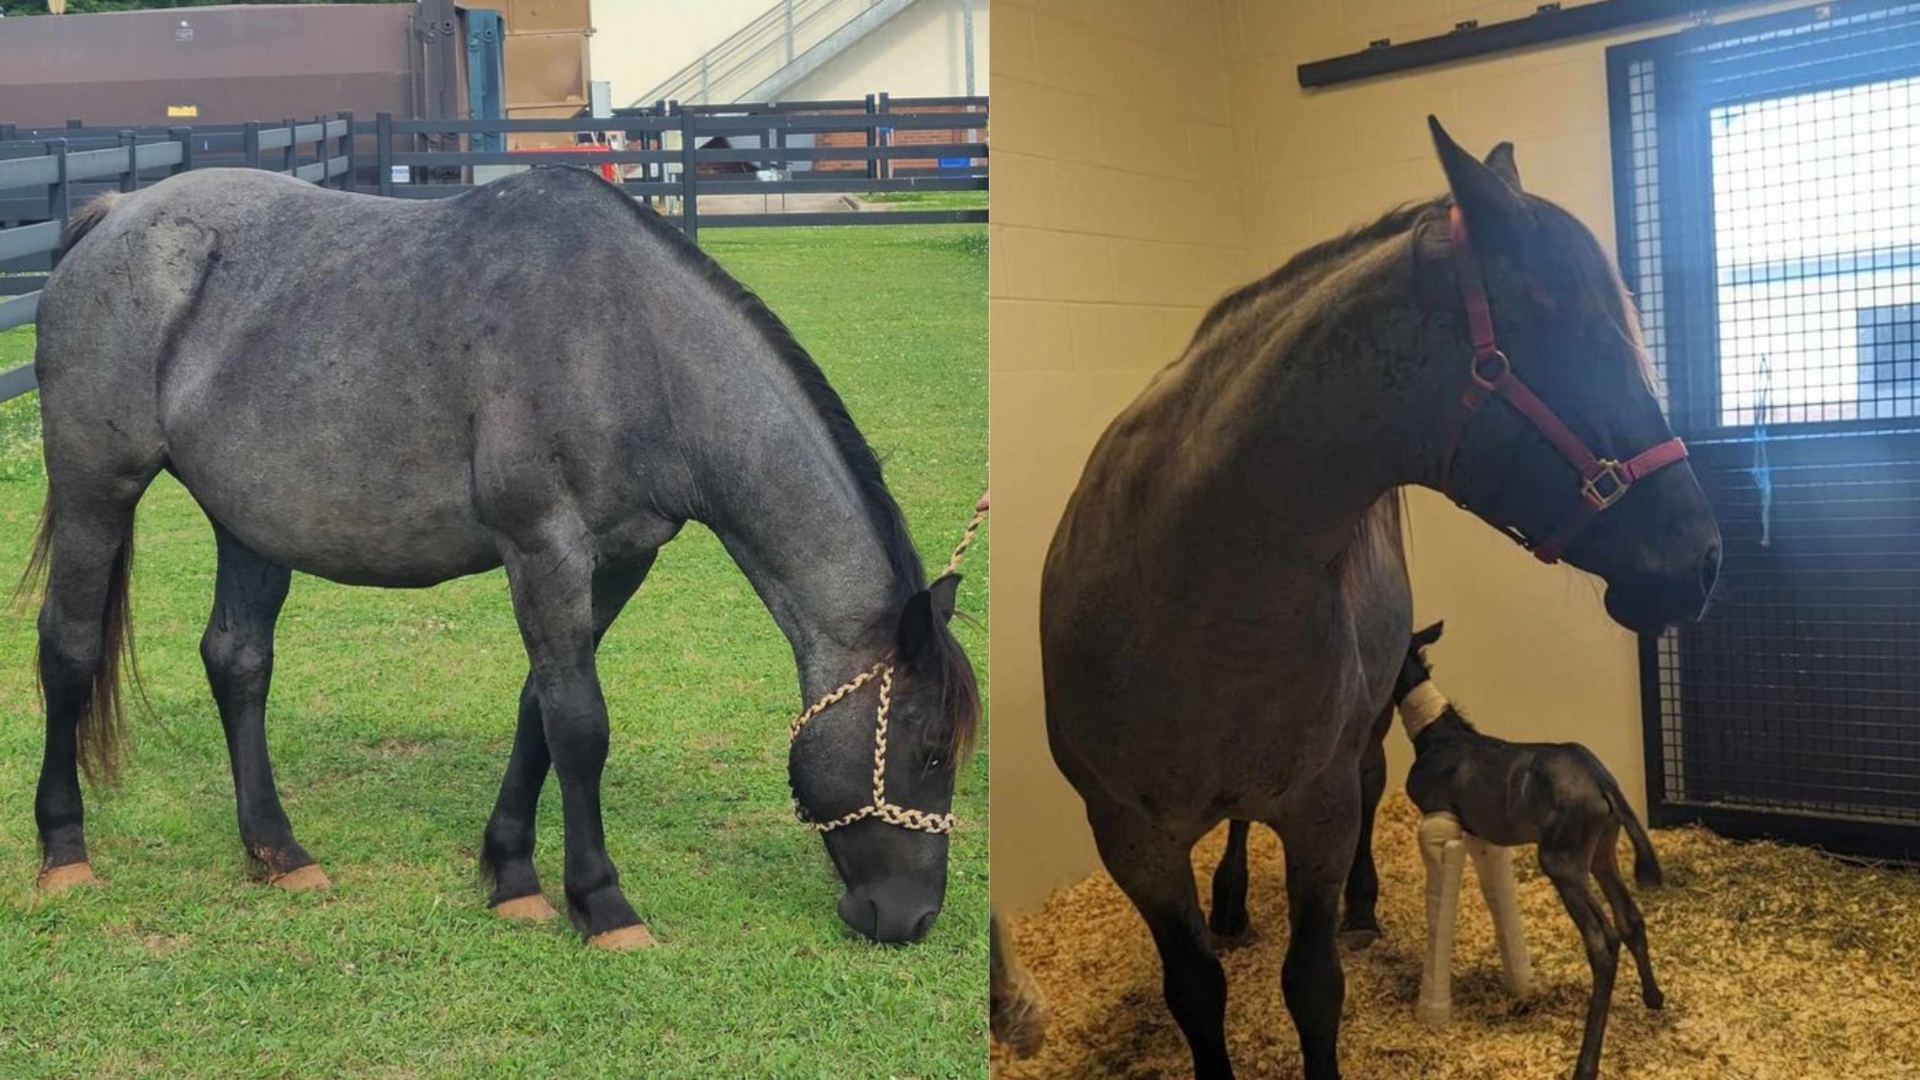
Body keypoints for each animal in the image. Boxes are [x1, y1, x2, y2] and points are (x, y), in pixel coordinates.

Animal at [20, 164, 978, 946]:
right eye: (932, 752)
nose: (912, 917)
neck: (630, 343)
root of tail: (116, 214)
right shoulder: (542, 545)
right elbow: (581, 724)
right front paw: (602, 903)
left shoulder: (615, 562)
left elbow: (540, 710)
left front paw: (513, 875)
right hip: (97, 488)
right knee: (67, 648)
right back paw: (64, 852)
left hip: (249, 521)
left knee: (238, 661)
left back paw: (278, 849)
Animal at [1395, 620, 1664, 1080]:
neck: (1435, 735)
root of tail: (1605, 784)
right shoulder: (1483, 834)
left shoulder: (1438, 813)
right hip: (1601, 852)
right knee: (1629, 917)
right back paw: (1653, 998)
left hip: (1562, 861)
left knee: (1602, 939)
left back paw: (1586, 1063)